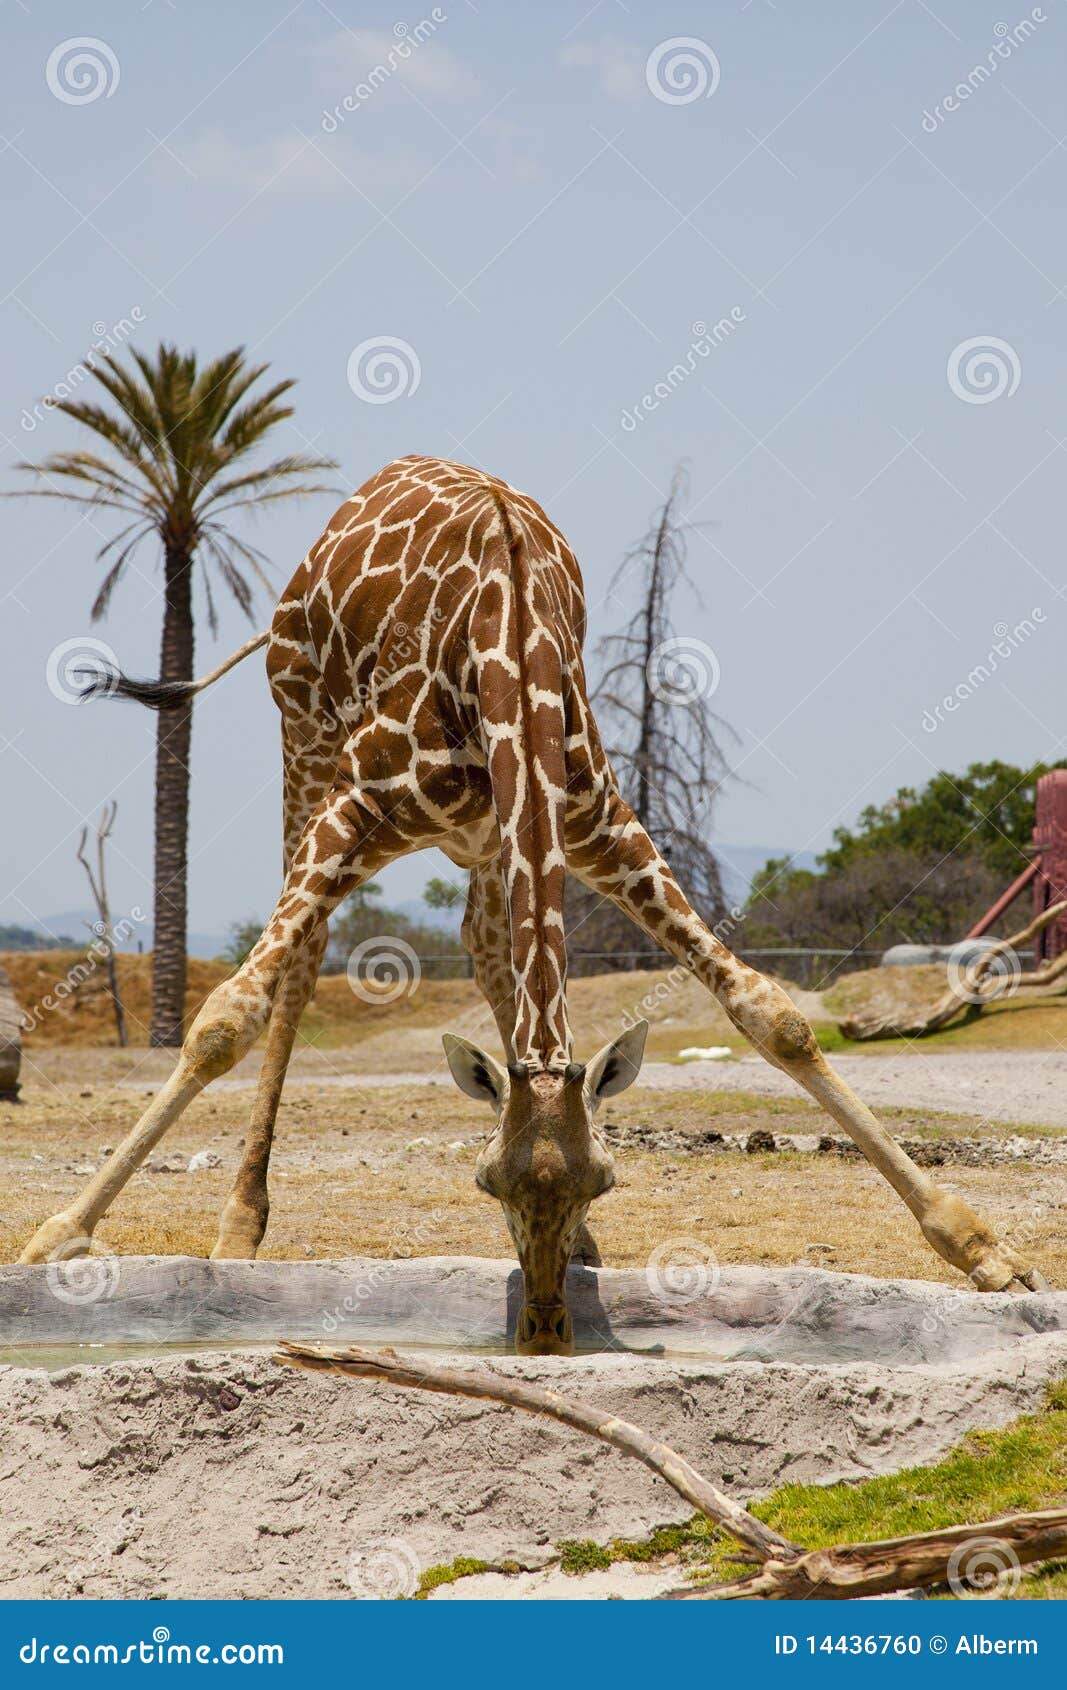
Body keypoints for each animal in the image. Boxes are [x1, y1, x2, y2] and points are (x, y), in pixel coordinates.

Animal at [20, 454, 1046, 1353]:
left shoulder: (595, 823)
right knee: (302, 968)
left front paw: (984, 1252)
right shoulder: (356, 807)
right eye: (484, 1186)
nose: (547, 1331)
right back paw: (239, 1225)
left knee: (486, 949)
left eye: (604, 1180)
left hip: (483, 841)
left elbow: (771, 1014)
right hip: (302, 745)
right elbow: (223, 1019)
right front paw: (55, 1236)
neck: (503, 643)